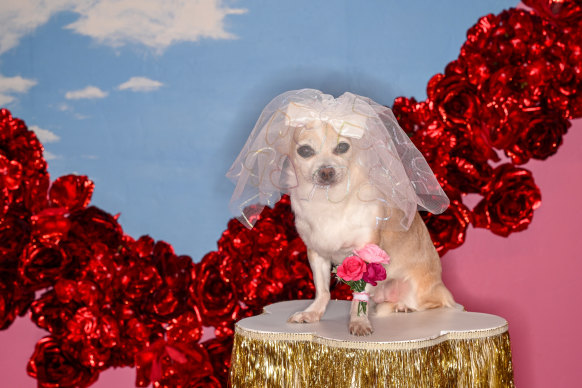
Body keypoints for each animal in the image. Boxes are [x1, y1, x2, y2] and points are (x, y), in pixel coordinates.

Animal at [288, 120, 456, 334]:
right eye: (305, 151)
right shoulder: (317, 253)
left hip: (417, 289)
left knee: (436, 303)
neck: (330, 199)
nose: (326, 171)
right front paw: (312, 313)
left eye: (342, 147)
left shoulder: (368, 254)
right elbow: (323, 291)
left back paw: (404, 305)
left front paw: (359, 320)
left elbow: (359, 297)